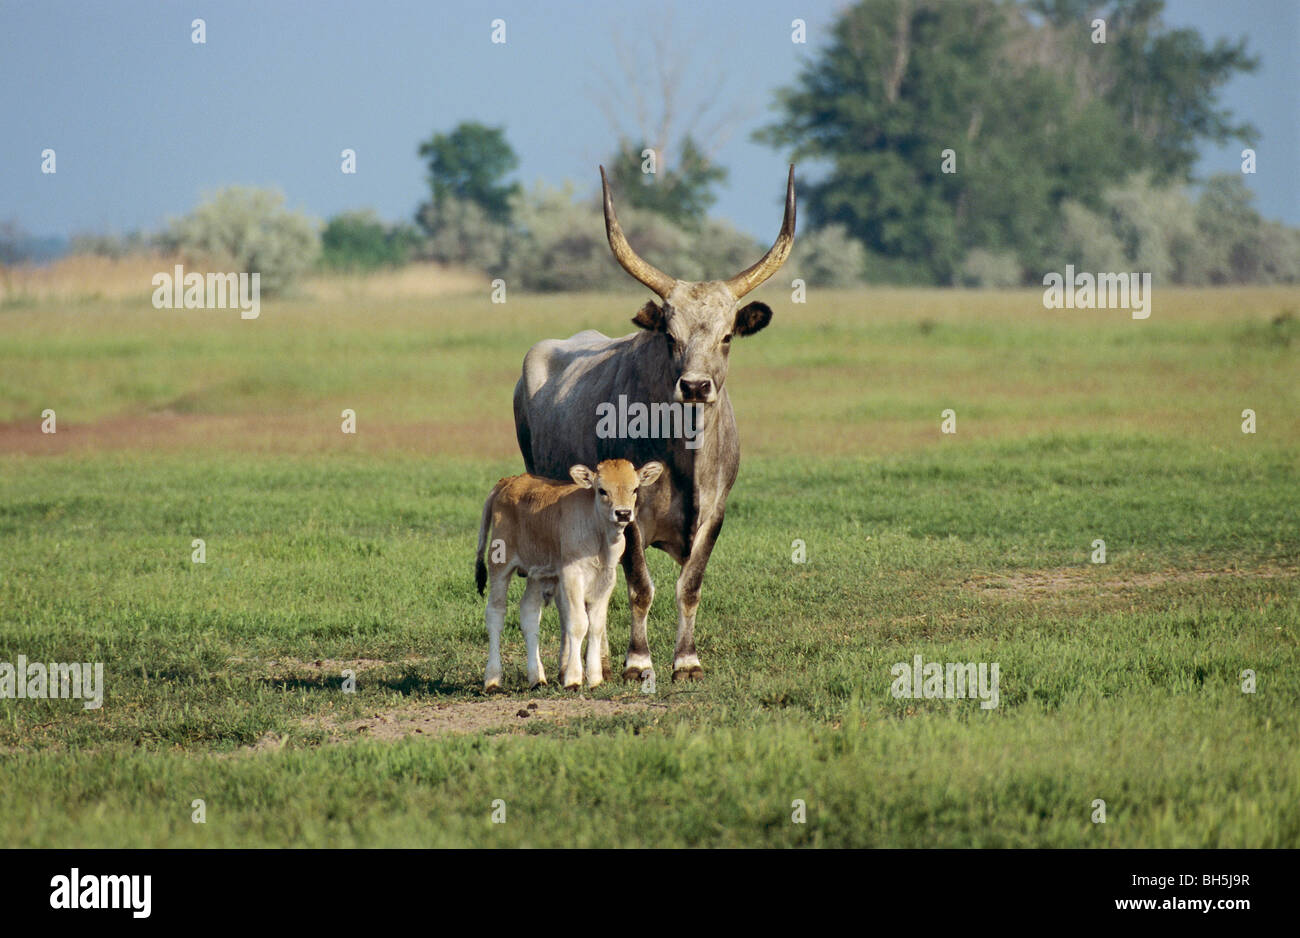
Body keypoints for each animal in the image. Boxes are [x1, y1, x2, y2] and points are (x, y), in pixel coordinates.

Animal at [476, 458, 665, 691]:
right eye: (602, 490)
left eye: (635, 489)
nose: (623, 513)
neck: (599, 536)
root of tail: (509, 481)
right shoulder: (572, 575)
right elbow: (578, 623)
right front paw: (573, 679)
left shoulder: (607, 579)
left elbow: (596, 626)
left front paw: (595, 679)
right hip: (499, 565)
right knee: (495, 613)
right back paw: (492, 679)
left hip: (536, 573)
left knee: (529, 614)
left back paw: (537, 678)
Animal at [512, 165, 795, 682]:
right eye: (669, 335)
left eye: (727, 336)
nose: (696, 386)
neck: (685, 455)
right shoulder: (631, 514)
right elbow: (640, 587)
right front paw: (637, 661)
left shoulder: (716, 512)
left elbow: (690, 585)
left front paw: (686, 659)